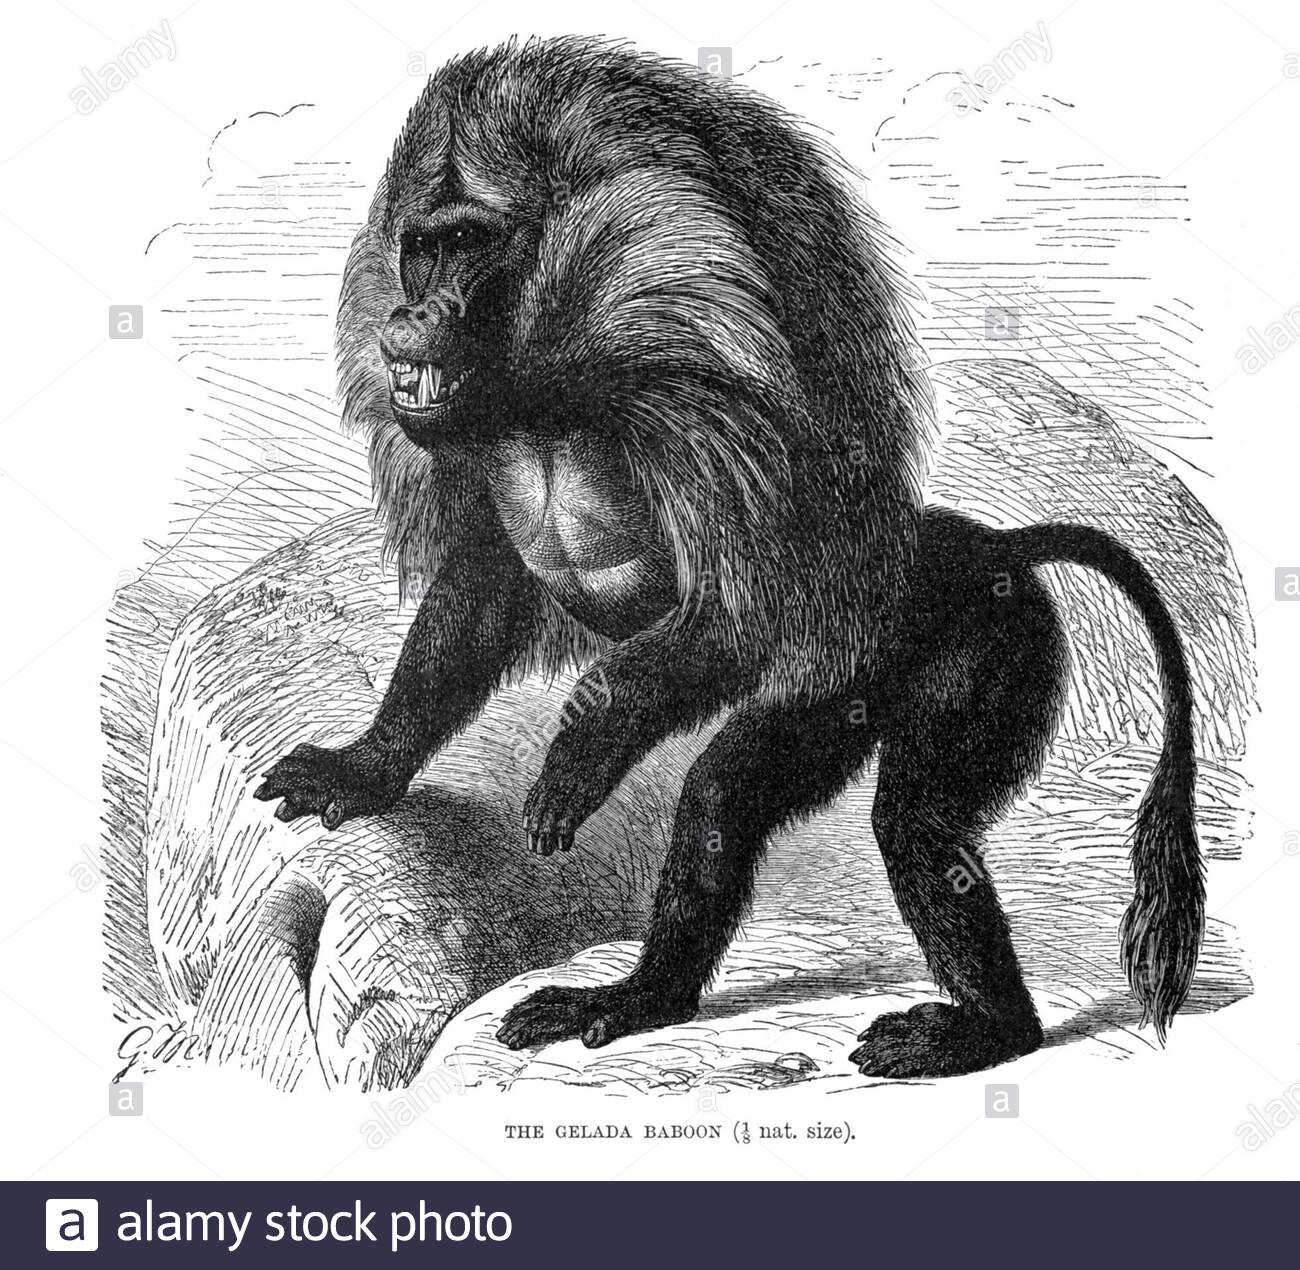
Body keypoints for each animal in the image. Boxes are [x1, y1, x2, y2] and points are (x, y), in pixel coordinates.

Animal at [252, 37, 1204, 1078]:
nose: (411, 314)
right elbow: (475, 601)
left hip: (990, 645)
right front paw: (366, 768)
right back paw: (650, 998)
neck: (541, 392)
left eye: (471, 244)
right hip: (855, 698)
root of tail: (979, 543)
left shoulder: (693, 393)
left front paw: (579, 753)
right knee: (735, 803)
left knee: (900, 824)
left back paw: (986, 1030)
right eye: (422, 247)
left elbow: (737, 612)